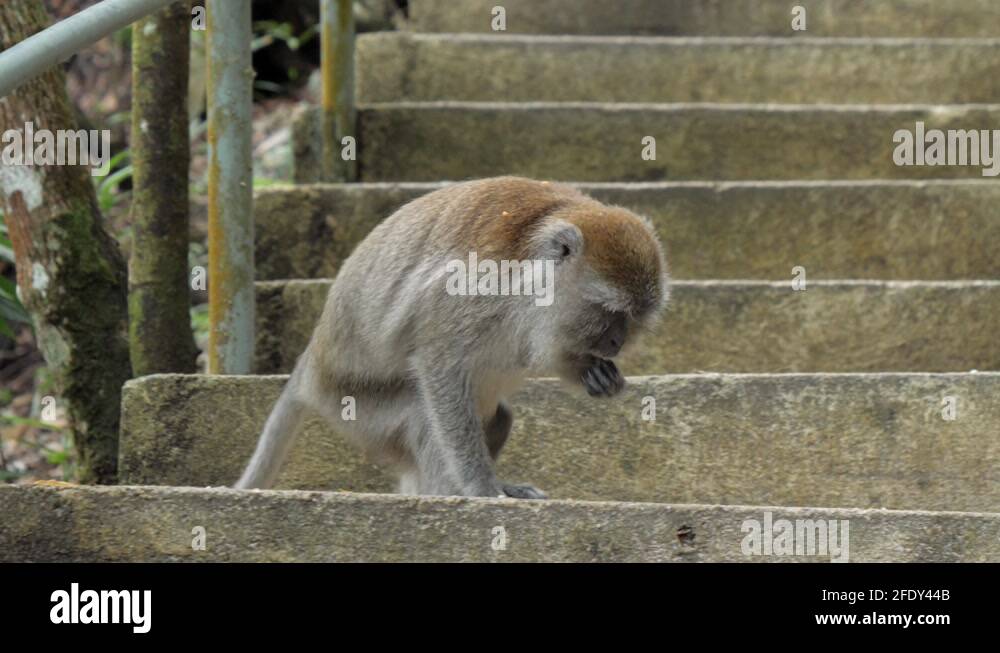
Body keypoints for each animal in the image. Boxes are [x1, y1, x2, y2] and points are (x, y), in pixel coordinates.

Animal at [235, 176, 670, 498]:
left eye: (633, 319)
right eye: (609, 314)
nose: (615, 343)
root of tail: (313, 359)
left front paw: (592, 372)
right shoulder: (472, 291)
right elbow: (439, 363)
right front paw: (482, 488)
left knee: (498, 416)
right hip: (355, 405)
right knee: (420, 411)